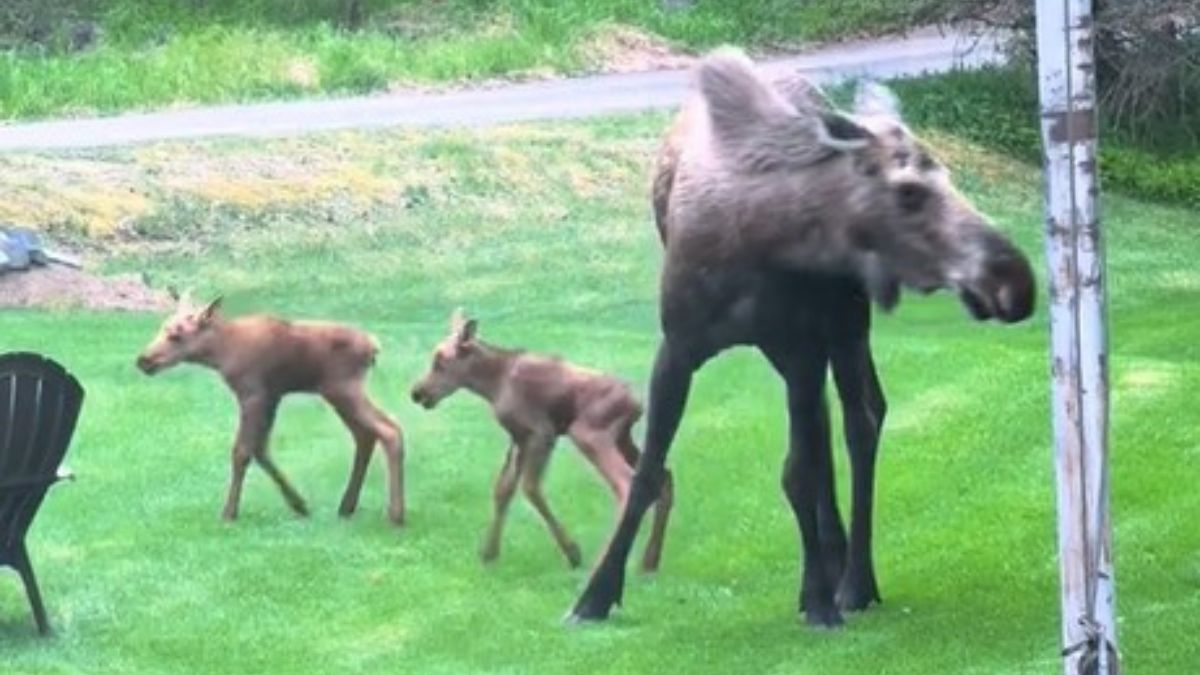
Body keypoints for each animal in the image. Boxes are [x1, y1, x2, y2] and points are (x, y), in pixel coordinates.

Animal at [135, 292, 405, 525]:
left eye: (176, 335)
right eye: (162, 327)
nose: (143, 360)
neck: (221, 354)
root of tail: (373, 347)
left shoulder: (252, 394)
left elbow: (242, 451)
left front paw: (229, 512)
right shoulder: (271, 396)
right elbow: (260, 449)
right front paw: (299, 504)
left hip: (343, 388)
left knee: (389, 428)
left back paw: (395, 514)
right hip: (337, 393)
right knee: (366, 434)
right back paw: (347, 506)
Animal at [410, 310, 673, 571]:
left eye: (440, 362)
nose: (417, 393)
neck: (493, 386)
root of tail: (637, 403)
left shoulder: (541, 432)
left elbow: (530, 488)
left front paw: (573, 552)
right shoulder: (518, 437)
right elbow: (503, 489)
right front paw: (489, 553)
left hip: (589, 432)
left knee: (625, 482)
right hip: (621, 437)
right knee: (664, 476)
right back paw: (650, 561)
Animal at [567, 48, 1036, 628]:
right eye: (908, 191)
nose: (1013, 280)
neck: (761, 235)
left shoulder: (802, 342)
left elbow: (799, 469)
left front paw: (817, 599)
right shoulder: (680, 345)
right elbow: (650, 472)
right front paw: (595, 595)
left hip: (845, 322)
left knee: (862, 418)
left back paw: (854, 581)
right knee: (835, 426)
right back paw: (837, 563)